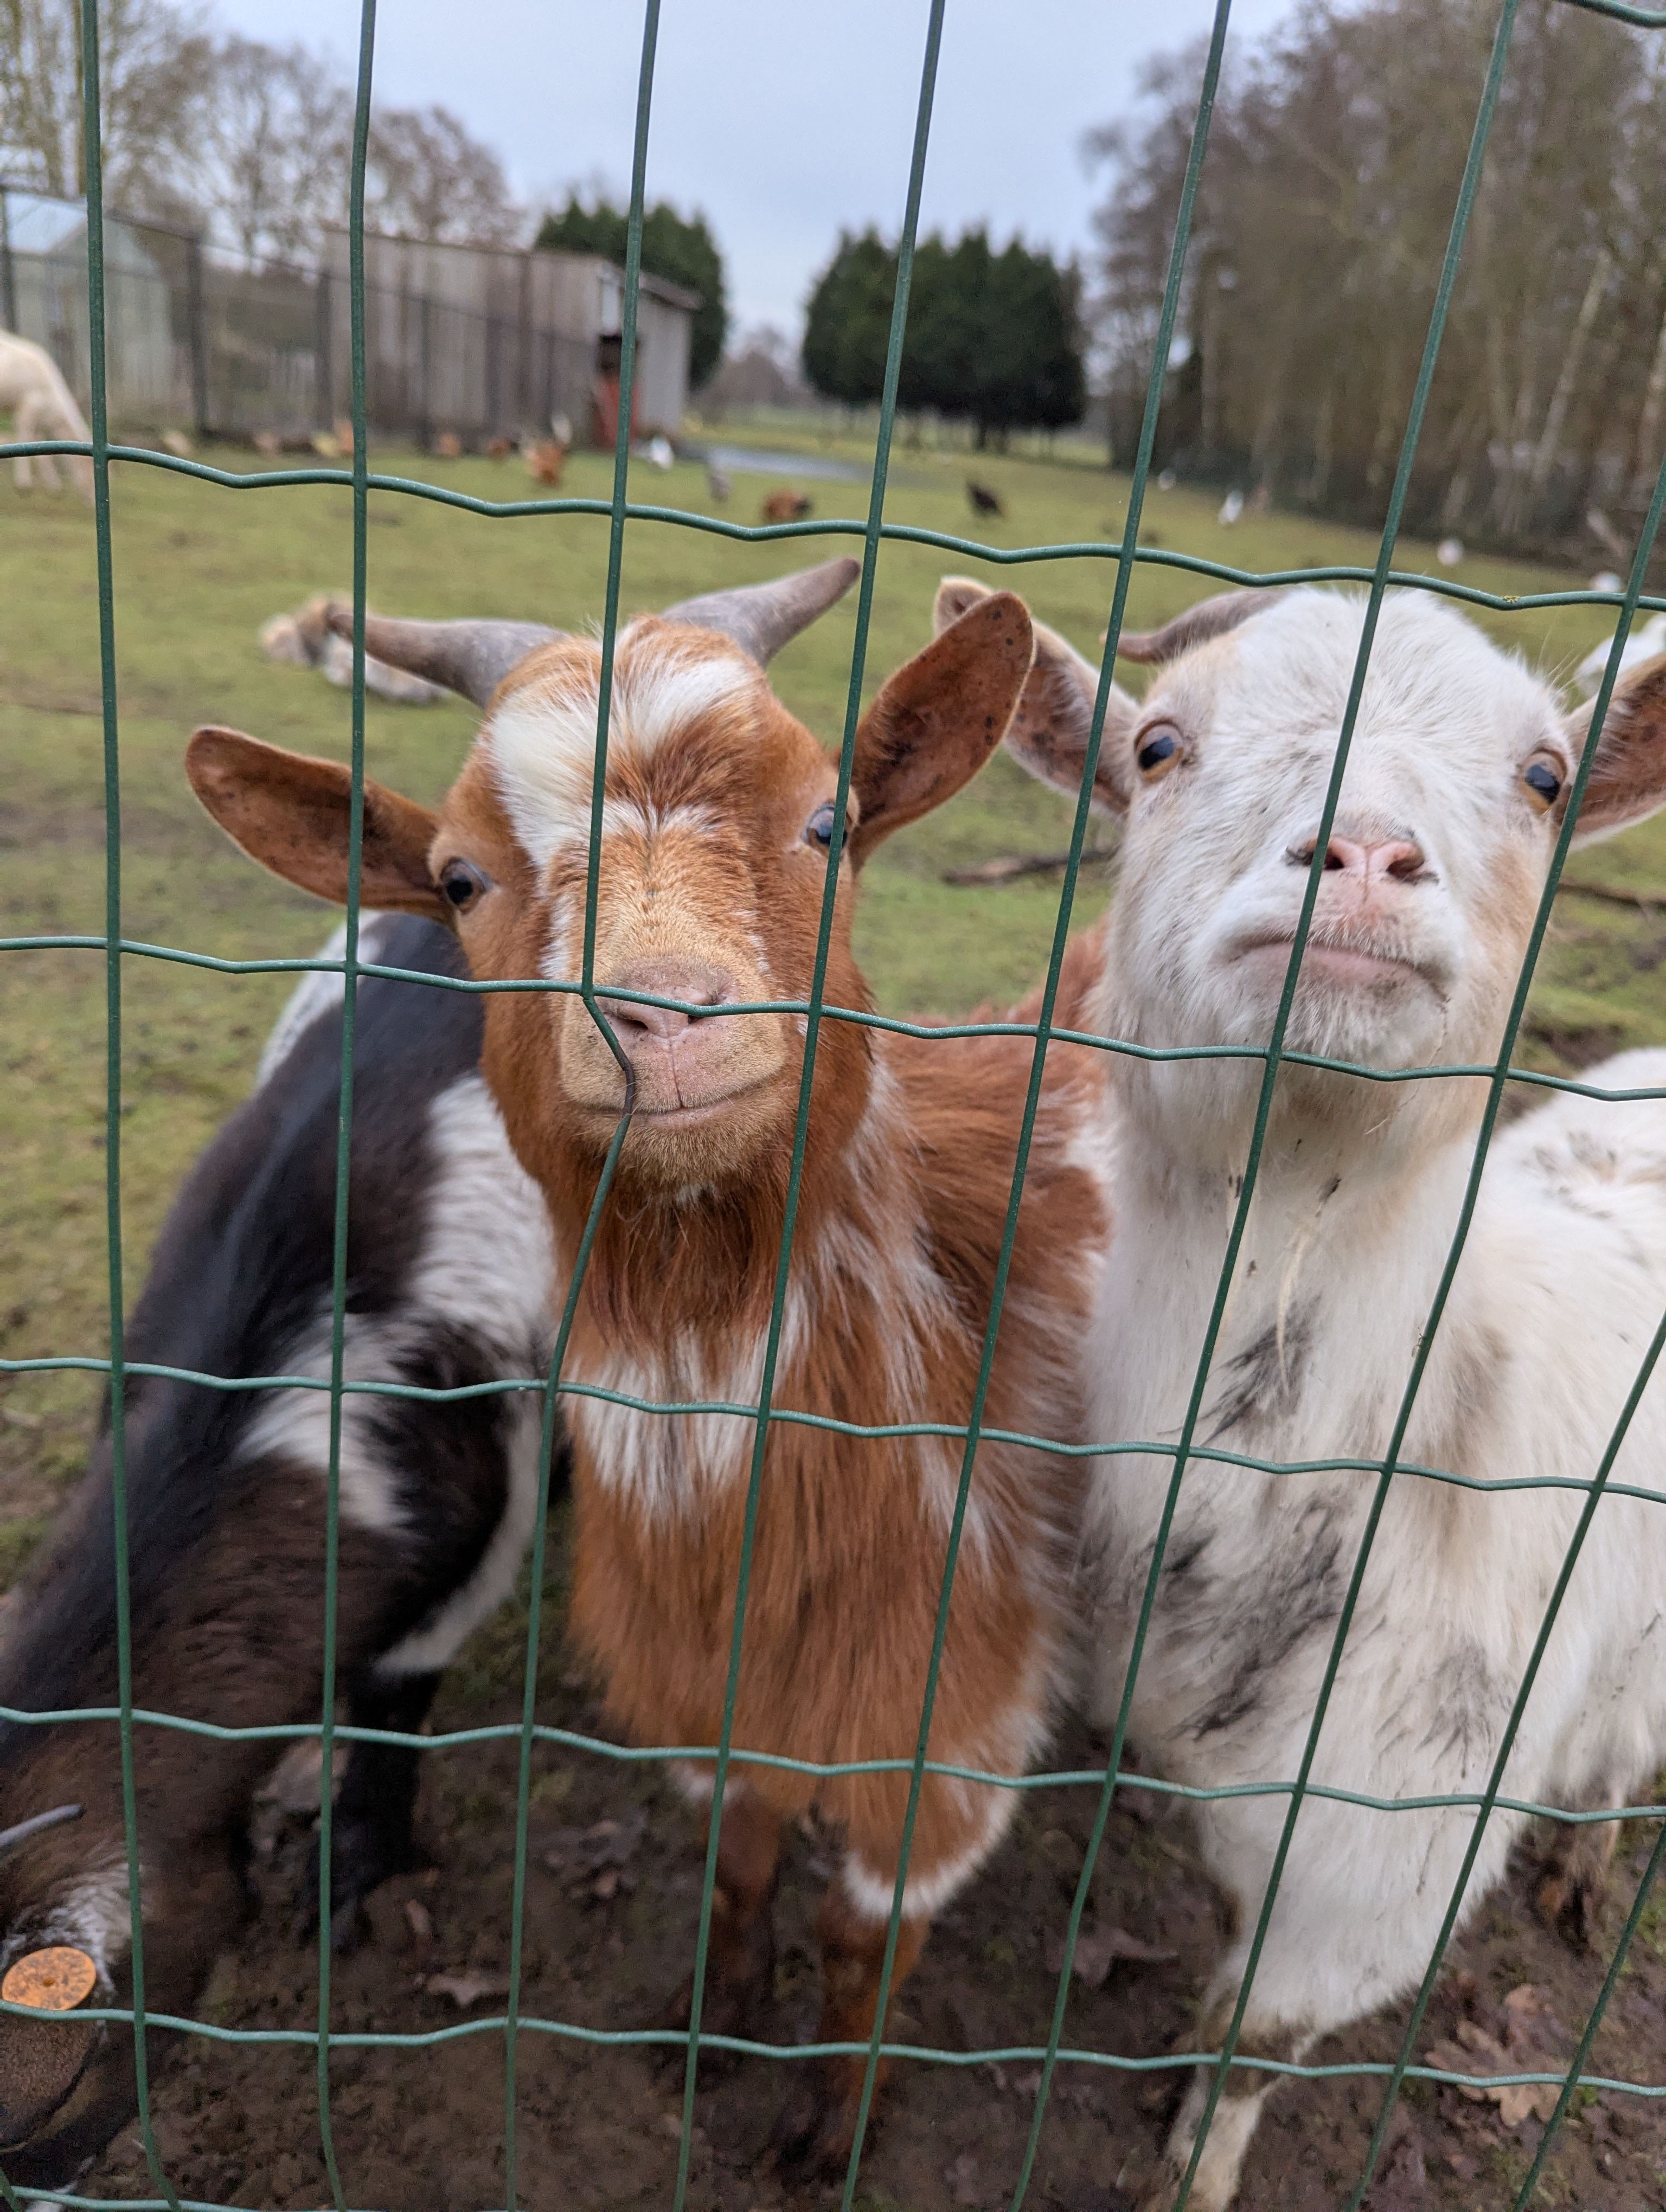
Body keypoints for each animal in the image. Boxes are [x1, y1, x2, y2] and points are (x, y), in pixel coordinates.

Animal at [0, 332, 94, 501]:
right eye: (91, 474)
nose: (93, 501)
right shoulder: (28, 408)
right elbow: (23, 438)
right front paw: (24, 485)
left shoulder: (38, 420)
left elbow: (41, 451)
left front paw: (54, 486)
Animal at [181, 559, 1111, 2173]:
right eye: (459, 877)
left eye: (827, 821)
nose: (664, 1014)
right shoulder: (703, 1697)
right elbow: (737, 1865)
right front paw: (705, 2036)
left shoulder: (960, 1722)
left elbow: (863, 1933)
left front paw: (823, 2135)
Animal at [950, 569, 1666, 2210]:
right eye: (1156, 745)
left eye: (1544, 776)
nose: (1364, 859)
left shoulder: (1383, 1856)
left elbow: (1253, 2036)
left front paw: (1189, 2170)